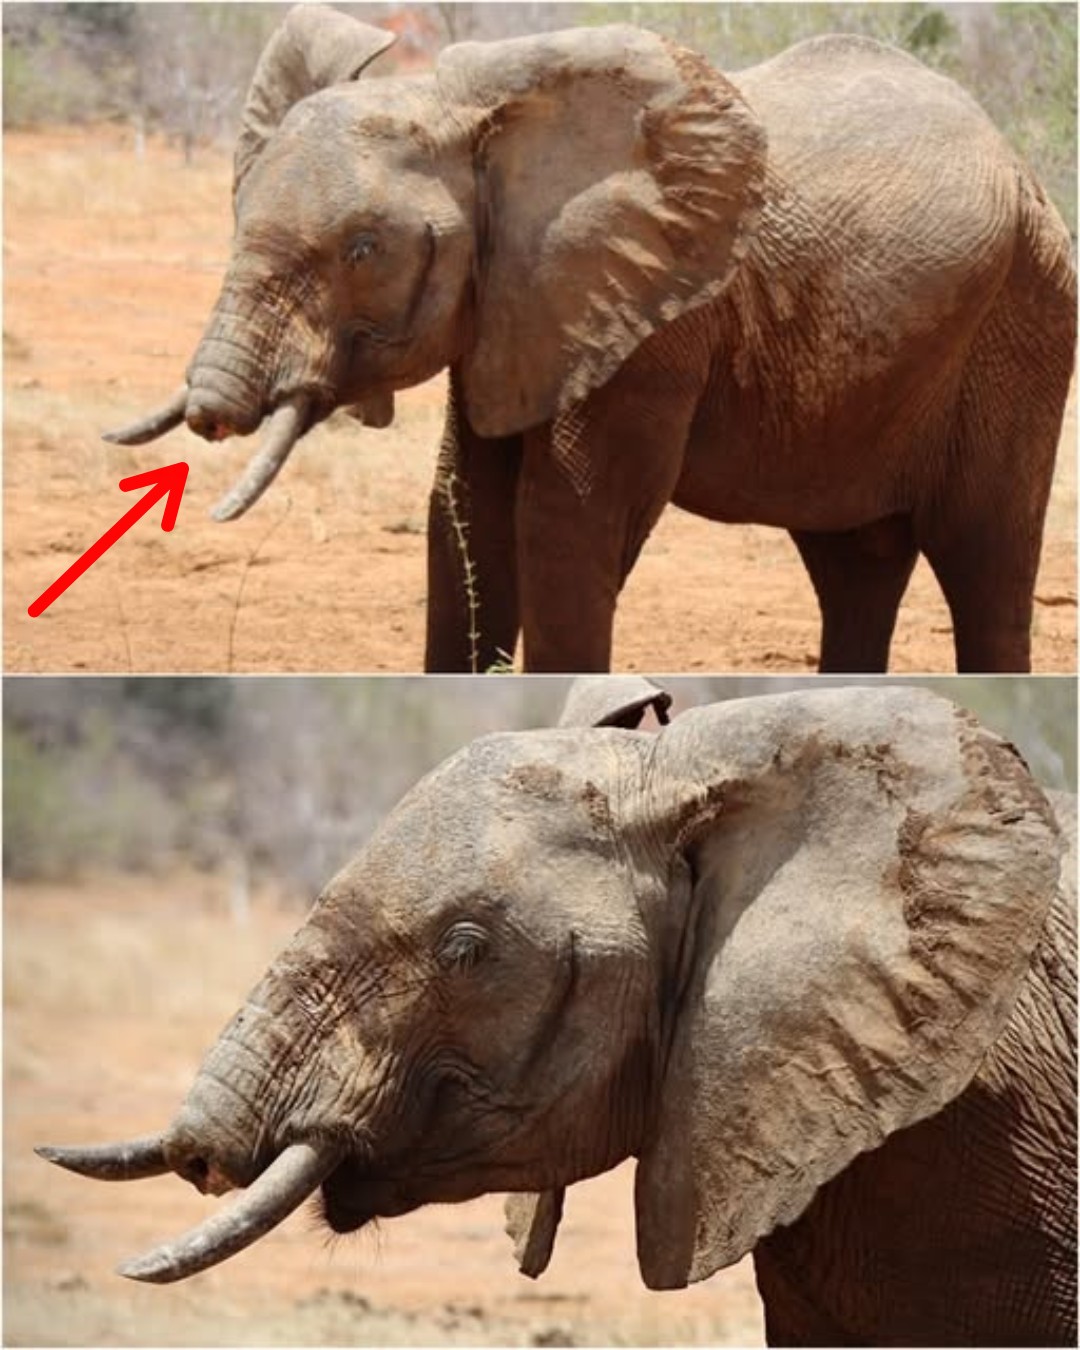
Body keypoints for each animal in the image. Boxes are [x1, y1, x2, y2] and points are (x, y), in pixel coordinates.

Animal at [105, 6, 1076, 675]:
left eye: (363, 250)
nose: (209, 417)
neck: (470, 115)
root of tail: (1014, 154)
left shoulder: (651, 324)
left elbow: (566, 520)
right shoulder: (515, 305)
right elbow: (464, 510)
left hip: (1025, 315)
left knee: (984, 562)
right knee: (857, 566)